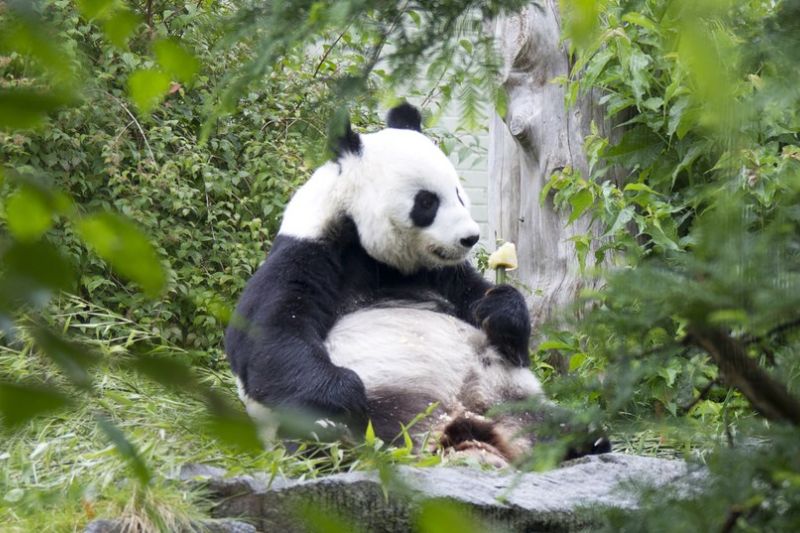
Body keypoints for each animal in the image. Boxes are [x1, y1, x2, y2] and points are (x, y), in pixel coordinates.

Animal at [225, 103, 609, 465]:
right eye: (427, 201)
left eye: (458, 193)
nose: (470, 237)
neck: (373, 252)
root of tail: (459, 428)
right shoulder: (309, 252)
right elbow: (268, 337)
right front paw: (347, 393)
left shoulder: (440, 273)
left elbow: (481, 303)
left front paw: (500, 310)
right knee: (321, 438)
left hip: (510, 399)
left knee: (565, 423)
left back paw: (585, 443)